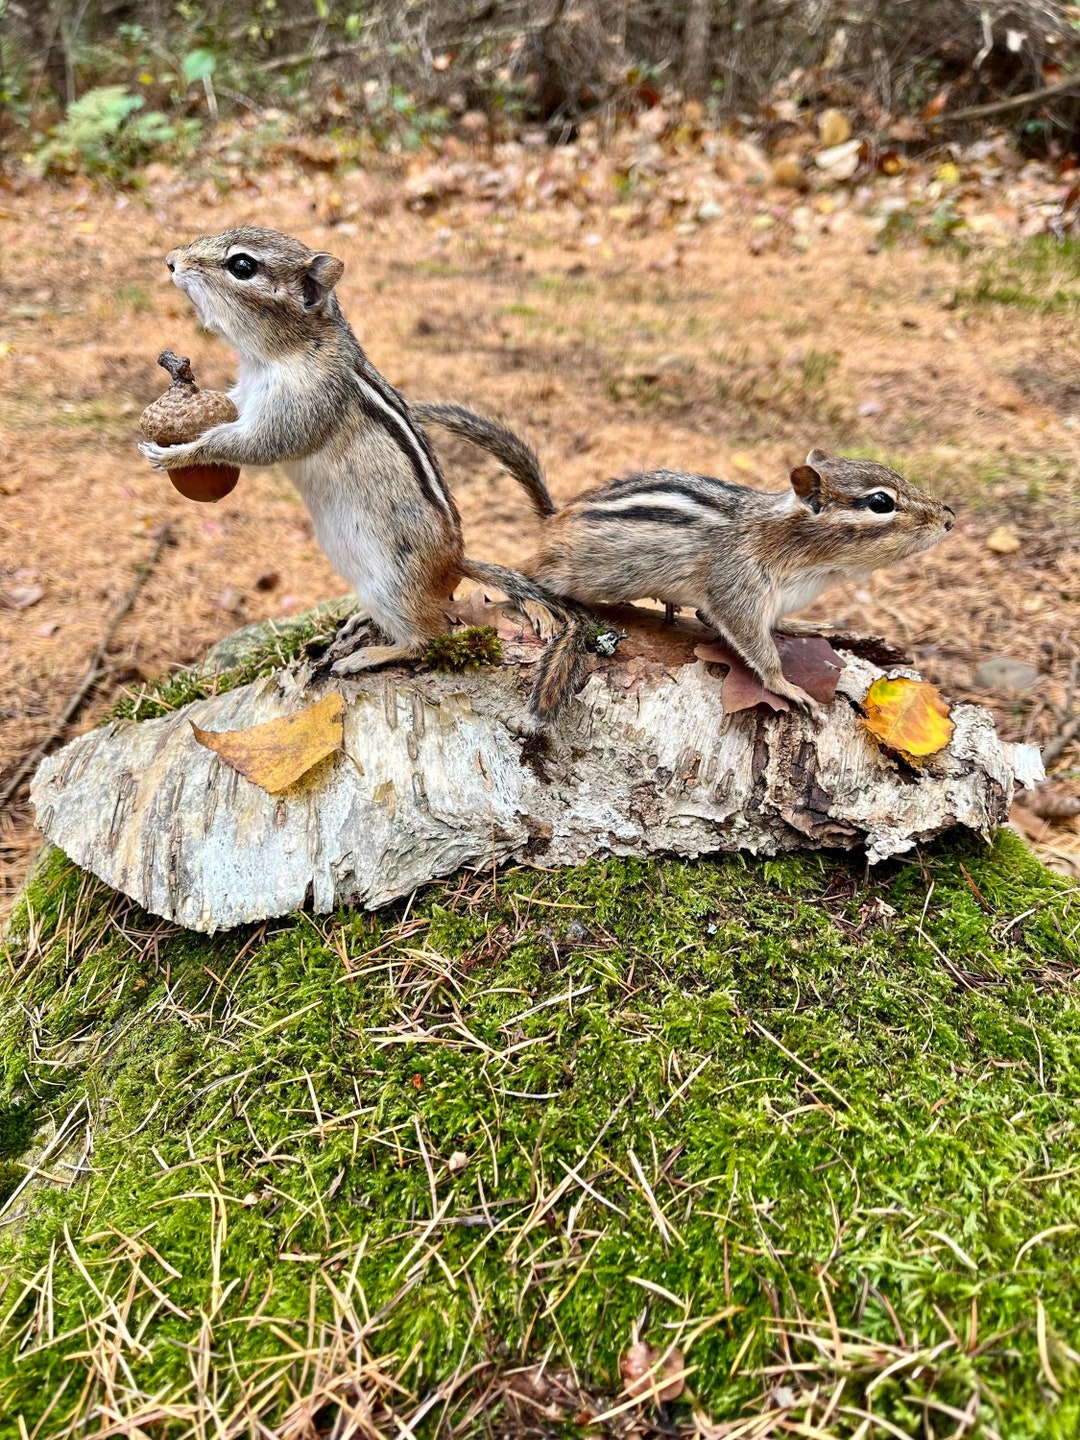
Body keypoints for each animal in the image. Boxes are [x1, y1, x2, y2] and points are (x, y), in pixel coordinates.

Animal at [137, 227, 596, 721]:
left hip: (390, 587)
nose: (170, 261)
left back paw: (367, 656)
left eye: (242, 266)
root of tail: (454, 563)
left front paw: (180, 453)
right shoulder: (244, 397)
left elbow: (256, 445)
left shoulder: (303, 405)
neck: (281, 352)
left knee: (428, 639)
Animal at [409, 402, 955, 710]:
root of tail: (554, 517)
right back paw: (539, 606)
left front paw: (806, 627)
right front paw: (785, 685)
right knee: (525, 573)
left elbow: (775, 625)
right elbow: (755, 644)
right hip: (572, 571)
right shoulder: (737, 586)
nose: (949, 516)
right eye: (880, 502)